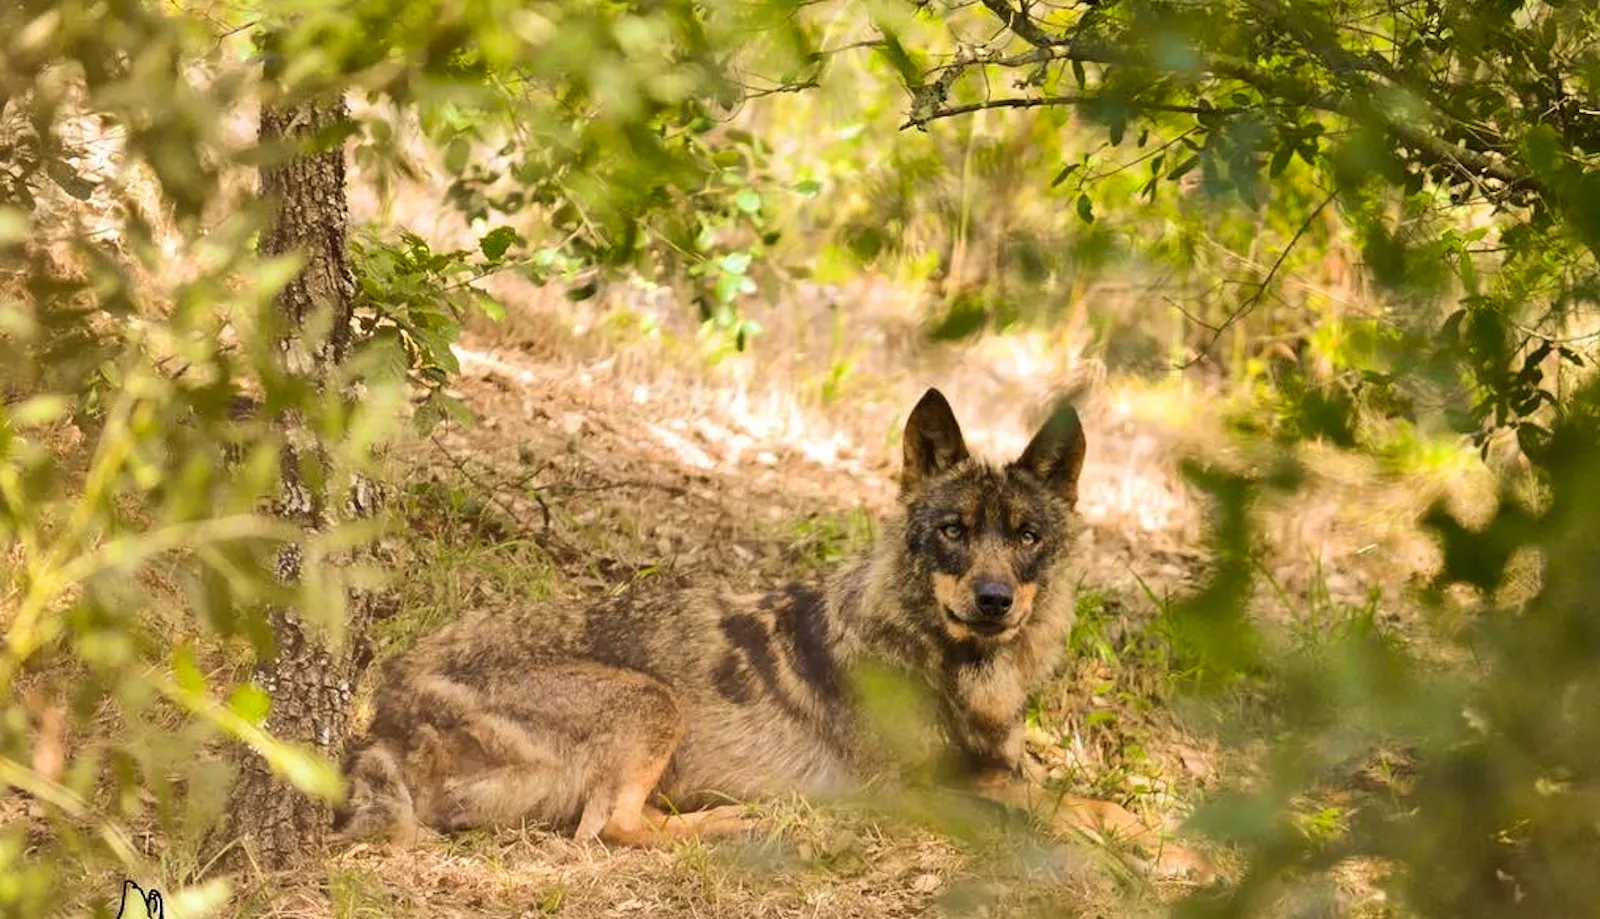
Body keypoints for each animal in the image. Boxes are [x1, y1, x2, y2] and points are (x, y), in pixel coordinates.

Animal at [334, 388, 1208, 877]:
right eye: (954, 531)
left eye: (1026, 535)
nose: (994, 599)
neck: (955, 668)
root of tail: (386, 708)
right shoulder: (914, 796)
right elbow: (1045, 819)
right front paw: (1145, 864)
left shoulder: (1003, 771)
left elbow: (1094, 803)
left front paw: (1177, 845)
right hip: (654, 700)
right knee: (606, 829)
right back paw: (738, 822)